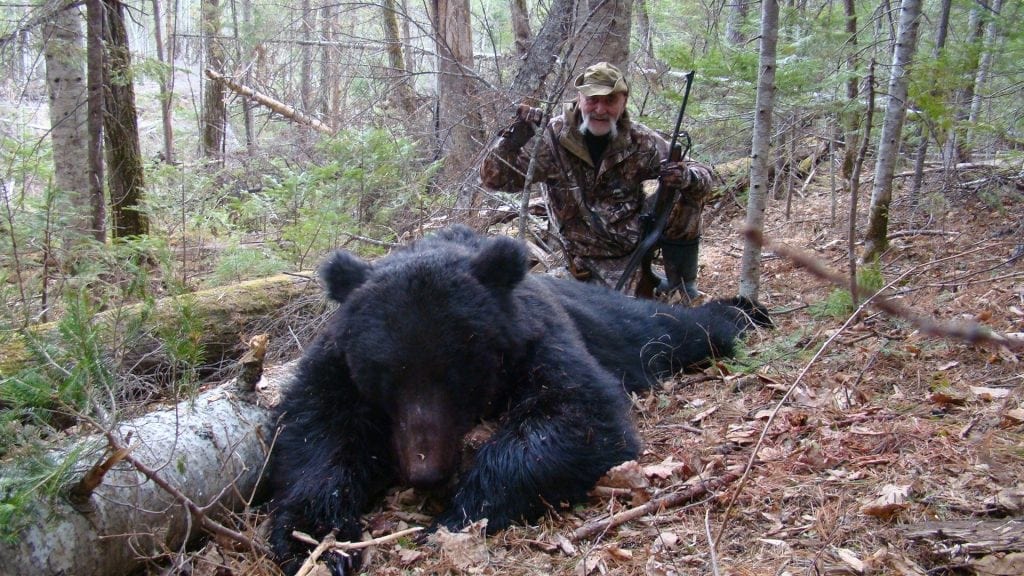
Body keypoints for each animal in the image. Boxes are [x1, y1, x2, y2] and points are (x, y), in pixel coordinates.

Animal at [266, 226, 769, 575]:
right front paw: (317, 540)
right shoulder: (335, 367)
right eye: (386, 374)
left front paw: (455, 516)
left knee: (668, 329)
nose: (425, 472)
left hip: (618, 325)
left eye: (457, 372)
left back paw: (744, 312)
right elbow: (315, 437)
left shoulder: (538, 342)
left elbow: (577, 415)